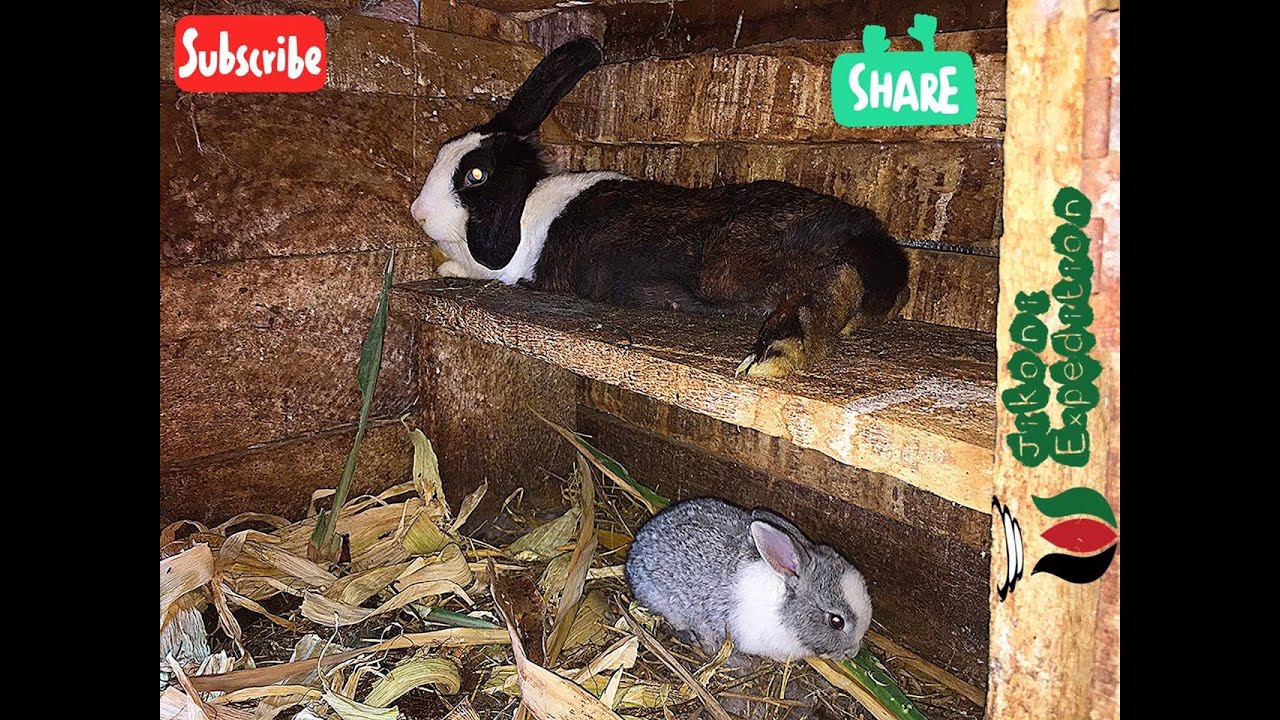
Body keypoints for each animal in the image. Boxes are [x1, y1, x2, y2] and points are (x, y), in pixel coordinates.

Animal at [410, 37, 910, 378]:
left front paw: (447, 267)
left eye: (476, 175)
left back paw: (775, 353)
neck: (524, 204)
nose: (417, 213)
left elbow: (478, 270)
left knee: (832, 282)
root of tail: (867, 233)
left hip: (730, 265)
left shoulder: (507, 269)